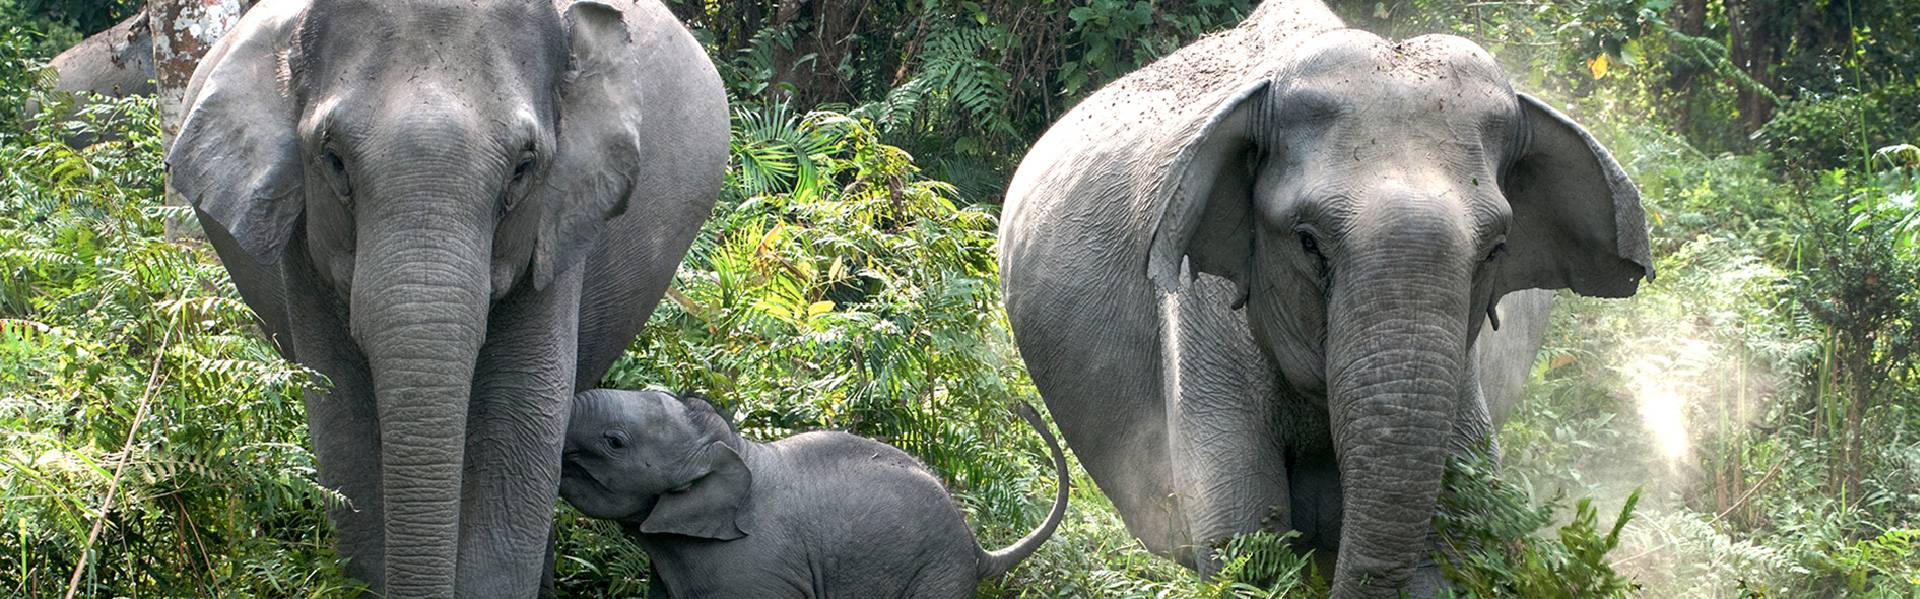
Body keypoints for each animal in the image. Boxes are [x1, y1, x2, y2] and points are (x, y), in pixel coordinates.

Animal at [163, 0, 726, 595]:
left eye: (524, 167)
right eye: (332, 159)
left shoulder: (559, 230)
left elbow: (519, 420)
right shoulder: (301, 243)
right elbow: (344, 429)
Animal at [559, 389, 1071, 598]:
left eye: (614, 442)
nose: (1021, 406)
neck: (733, 446)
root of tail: (976, 546)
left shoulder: (756, 572)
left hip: (937, 577)